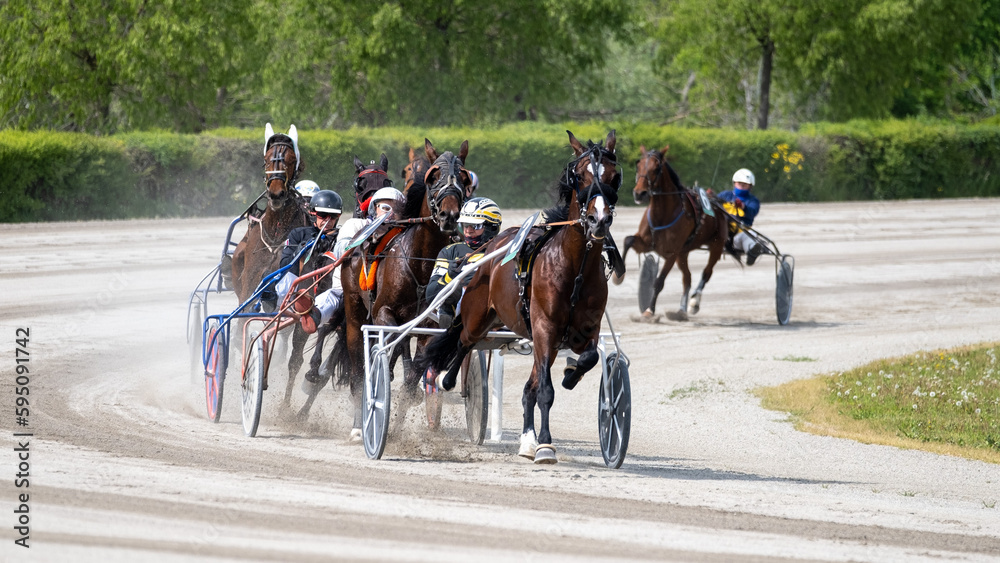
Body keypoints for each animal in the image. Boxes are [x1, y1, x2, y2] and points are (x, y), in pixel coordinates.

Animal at [341, 138, 470, 440]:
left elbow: (412, 376)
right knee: (357, 364)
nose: (448, 215)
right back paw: (358, 424)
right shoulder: (383, 312)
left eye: (464, 177)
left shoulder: (428, 326)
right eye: (433, 177)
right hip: (353, 312)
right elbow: (385, 352)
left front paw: (395, 425)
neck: (419, 260)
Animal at [416, 130, 621, 464]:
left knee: (526, 385)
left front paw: (571, 374)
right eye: (579, 176)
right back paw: (447, 380)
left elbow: (587, 359)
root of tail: (490, 249)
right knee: (463, 340)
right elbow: (546, 392)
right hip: (478, 315)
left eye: (614, 176)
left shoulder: (583, 330)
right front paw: (546, 445)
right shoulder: (544, 327)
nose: (598, 220)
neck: (573, 268)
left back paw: (527, 439)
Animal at [618, 145, 737, 322]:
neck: (662, 215)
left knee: (706, 273)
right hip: (684, 253)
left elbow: (659, 282)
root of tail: (718, 206)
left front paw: (649, 311)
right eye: (638, 165)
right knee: (687, 278)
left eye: (657, 168)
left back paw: (694, 302)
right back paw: (681, 310)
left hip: (716, 245)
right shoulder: (646, 243)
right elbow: (628, 240)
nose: (639, 193)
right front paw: (618, 277)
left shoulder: (672, 253)